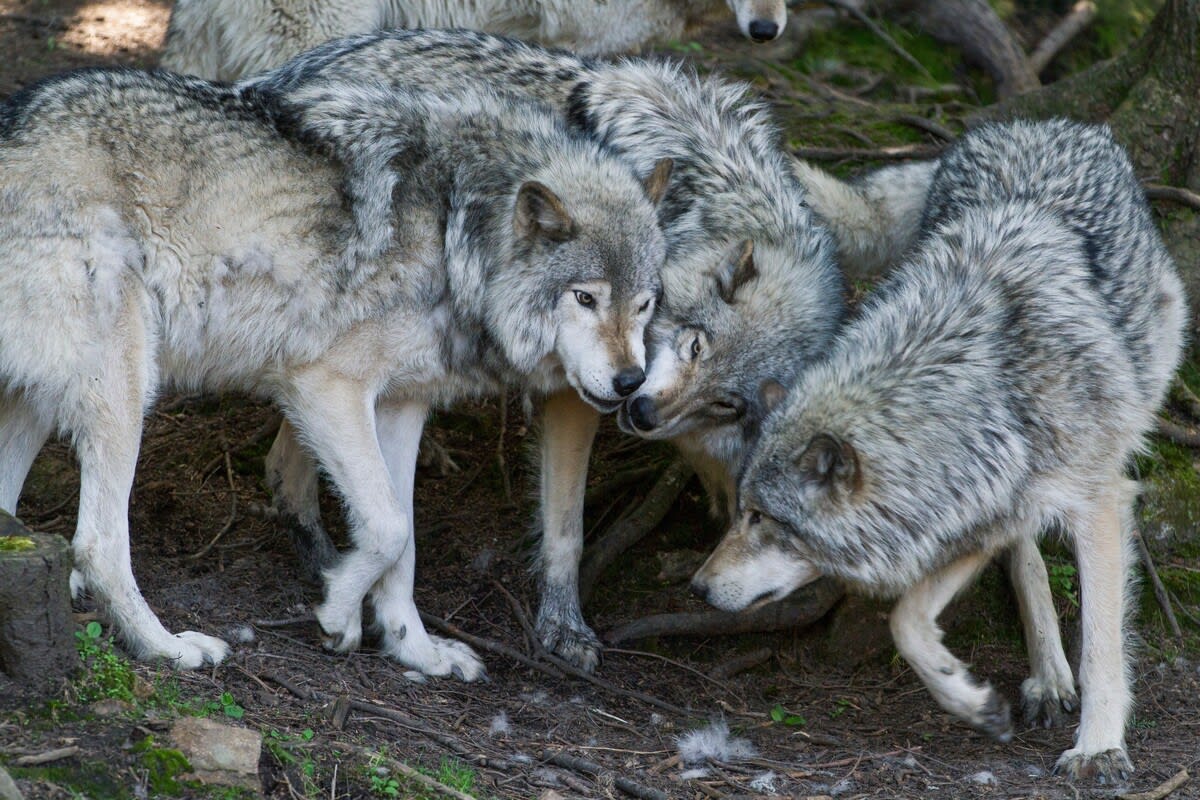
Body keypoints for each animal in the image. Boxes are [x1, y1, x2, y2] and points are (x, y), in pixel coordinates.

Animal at [0, 66, 672, 677]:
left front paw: (415, 649)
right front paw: (337, 611)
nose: (630, 382)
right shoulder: (325, 386)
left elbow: (404, 542)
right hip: (123, 391)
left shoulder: (402, 406)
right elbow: (387, 528)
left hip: (36, 403)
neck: (455, 229)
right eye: (585, 298)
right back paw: (168, 647)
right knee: (98, 544)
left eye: (643, 305)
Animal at [243, 28, 845, 671]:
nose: (639, 407)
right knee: (292, 463)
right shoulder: (575, 395)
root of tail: (278, 78)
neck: (699, 199)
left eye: (727, 404)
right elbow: (567, 529)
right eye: (694, 345)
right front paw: (562, 624)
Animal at [692, 119, 1187, 781]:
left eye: (762, 519)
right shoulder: (967, 509)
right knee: (1024, 558)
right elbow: (906, 622)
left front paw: (1099, 747)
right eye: (741, 512)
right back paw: (1046, 677)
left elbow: (1103, 644)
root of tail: (1026, 125)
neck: (990, 387)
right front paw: (970, 701)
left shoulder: (1097, 502)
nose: (697, 588)